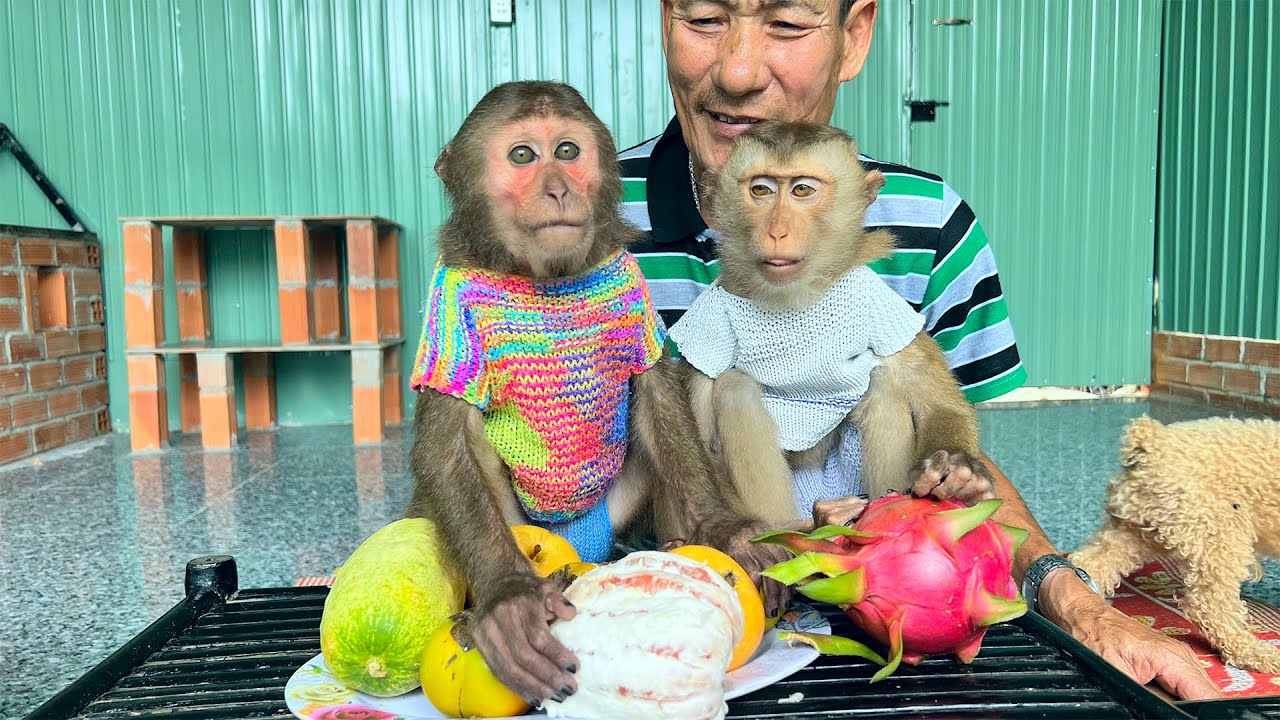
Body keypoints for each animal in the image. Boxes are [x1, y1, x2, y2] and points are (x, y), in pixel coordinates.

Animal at [403, 81, 789, 708]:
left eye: (566, 151)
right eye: (522, 156)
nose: (558, 188)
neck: (544, 280)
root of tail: (580, 547)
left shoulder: (626, 284)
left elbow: (654, 394)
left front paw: (722, 528)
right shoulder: (450, 311)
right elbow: (447, 441)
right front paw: (508, 595)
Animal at [668, 120, 996, 531]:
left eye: (802, 190)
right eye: (761, 190)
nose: (777, 231)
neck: (795, 299)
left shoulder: (879, 306)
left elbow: (939, 406)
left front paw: (958, 471)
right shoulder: (708, 326)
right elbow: (694, 458)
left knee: (883, 382)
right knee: (734, 389)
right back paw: (808, 524)